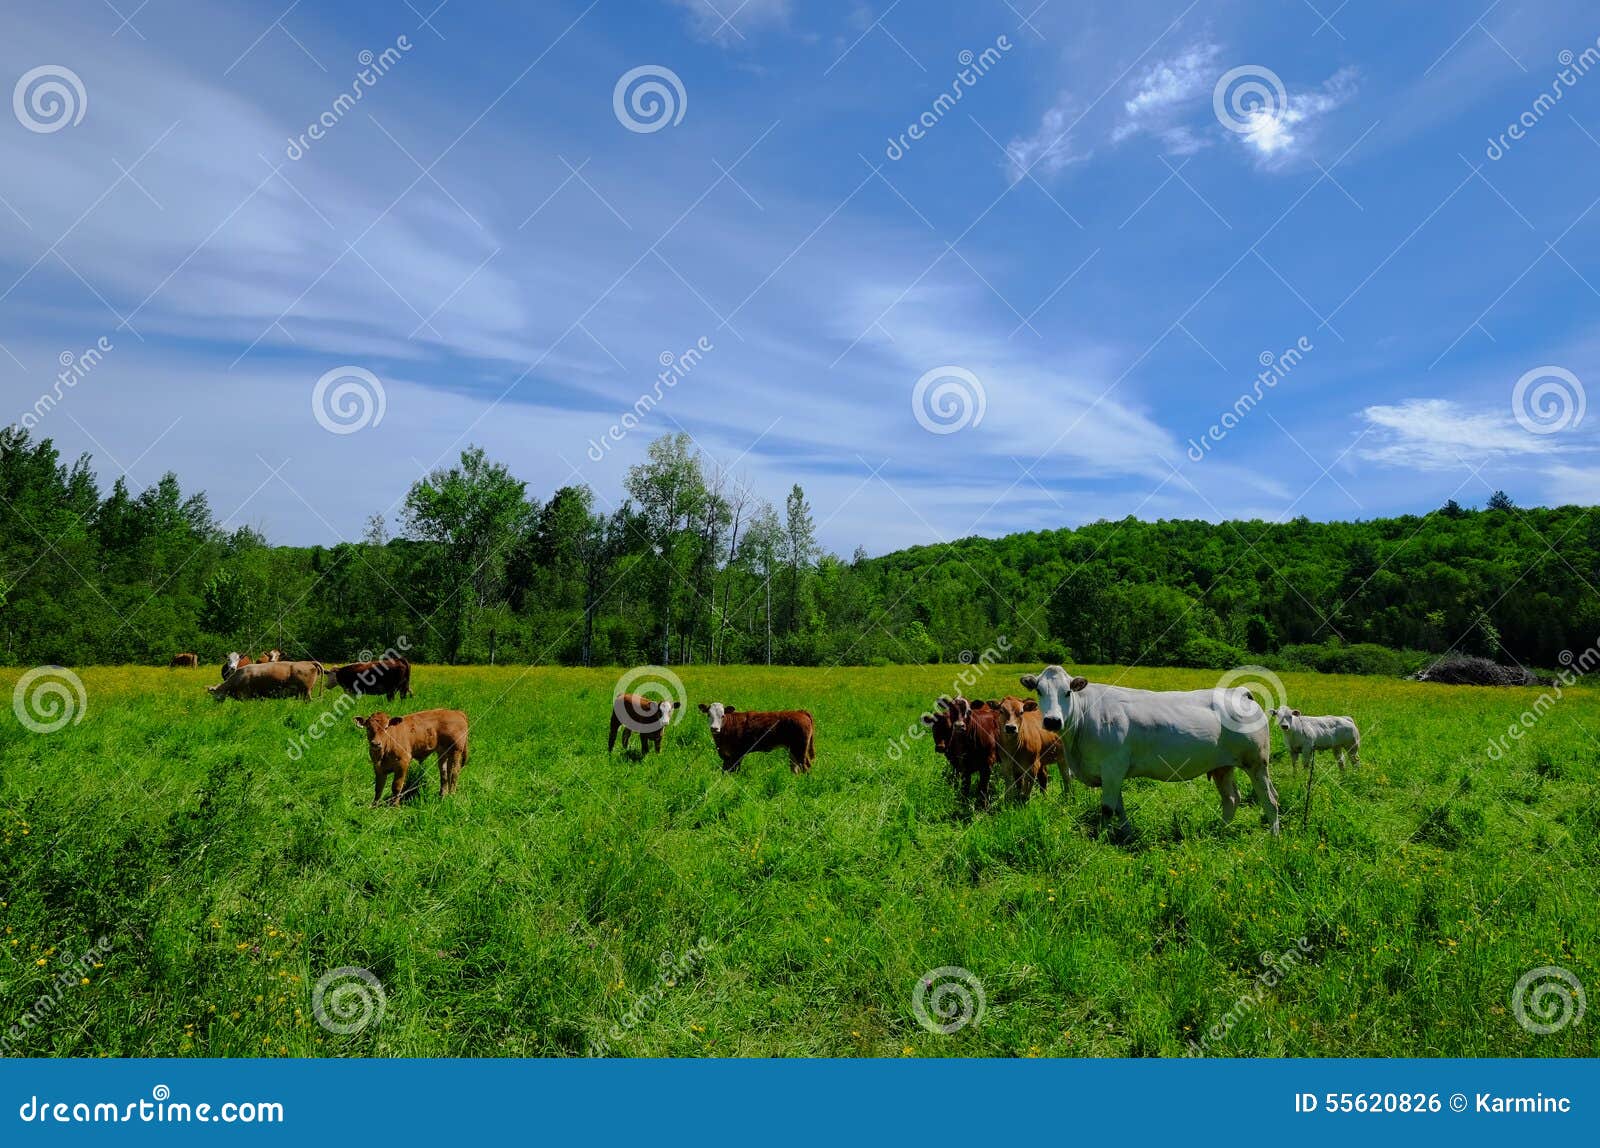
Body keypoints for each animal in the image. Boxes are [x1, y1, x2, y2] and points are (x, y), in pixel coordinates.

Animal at [1021, 665, 1280, 839]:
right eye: (1039, 691)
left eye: (1067, 692)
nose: (1052, 720)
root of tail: (1240, 691)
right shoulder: (1112, 772)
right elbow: (1118, 806)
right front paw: (1126, 833)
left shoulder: (1112, 766)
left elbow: (1107, 808)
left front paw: (1102, 838)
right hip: (1222, 766)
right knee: (1231, 798)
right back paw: (1220, 831)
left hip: (1257, 763)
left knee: (1270, 799)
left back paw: (1273, 837)